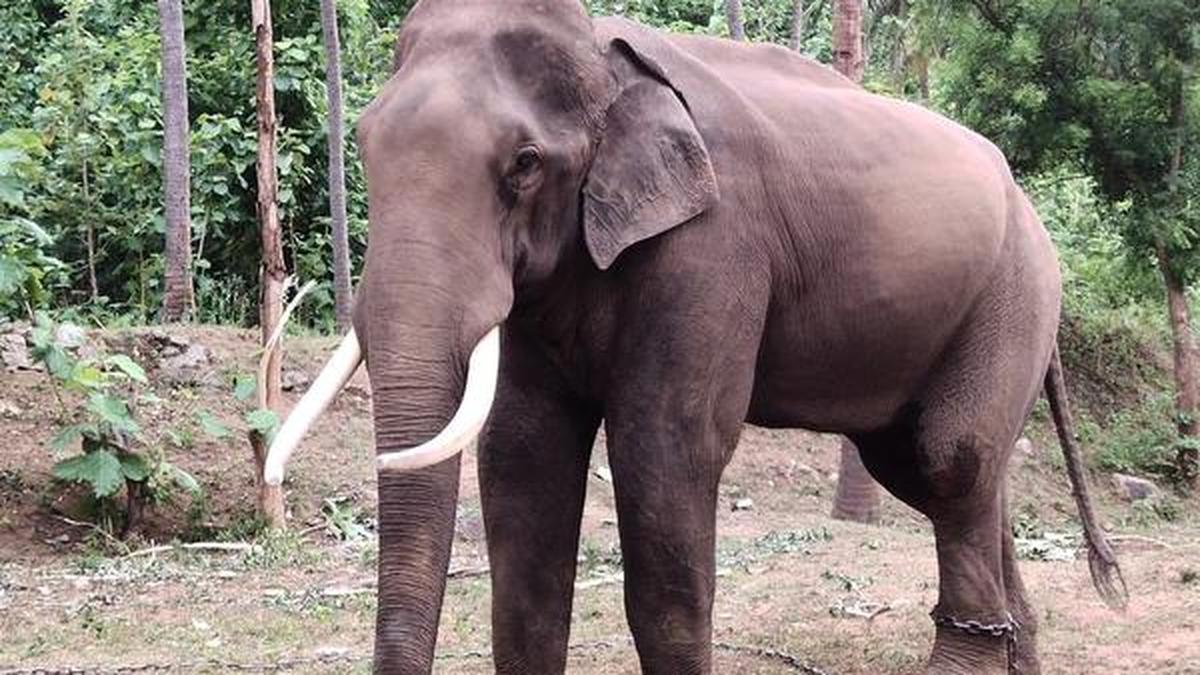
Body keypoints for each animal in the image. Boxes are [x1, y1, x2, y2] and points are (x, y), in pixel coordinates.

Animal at [264, 1, 1125, 673]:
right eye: (362, 142)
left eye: (525, 164)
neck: (603, 52)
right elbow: (523, 455)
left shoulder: (713, 245)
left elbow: (665, 453)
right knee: (937, 472)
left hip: (1014, 294)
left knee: (950, 460)